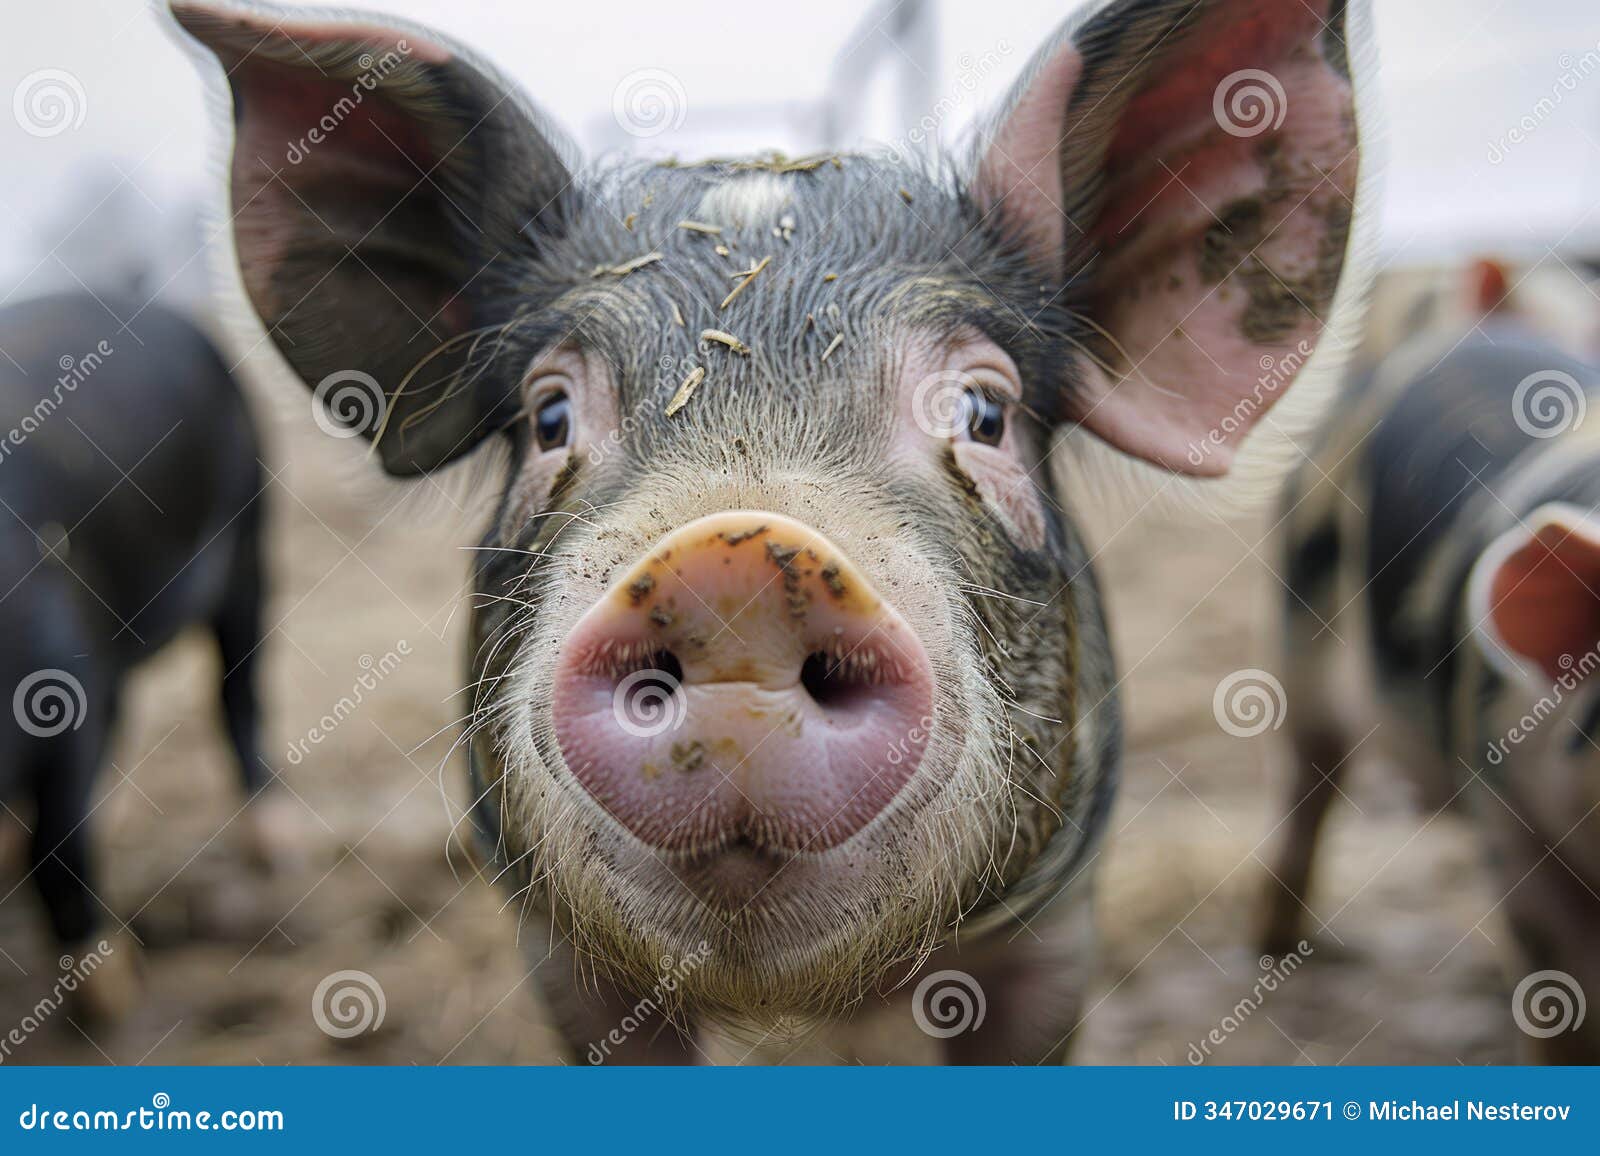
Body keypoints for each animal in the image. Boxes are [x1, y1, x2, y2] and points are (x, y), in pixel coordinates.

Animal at [0, 291, 286, 1021]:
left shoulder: (60, 687)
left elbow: (57, 844)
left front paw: (111, 998)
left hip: (249, 536)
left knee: (238, 693)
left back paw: (275, 844)